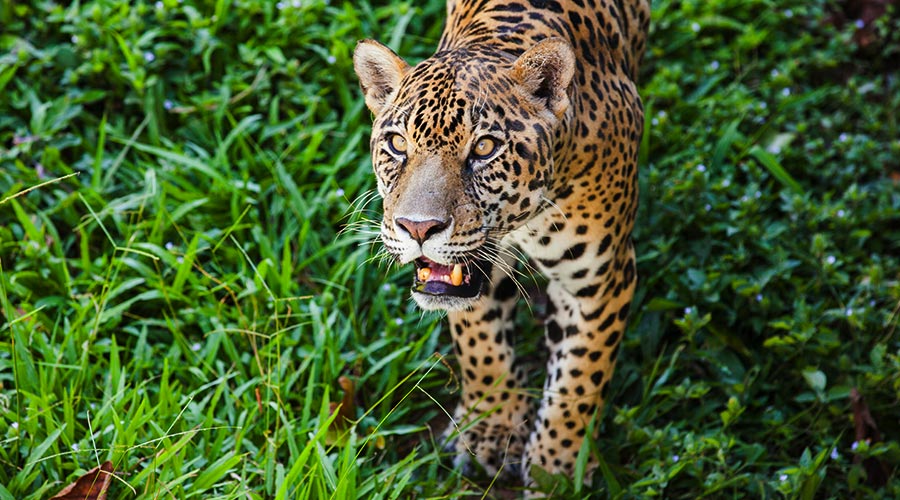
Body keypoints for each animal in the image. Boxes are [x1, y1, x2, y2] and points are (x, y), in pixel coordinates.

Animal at [353, 0, 650, 488]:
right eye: (397, 144)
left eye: (484, 149)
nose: (418, 228)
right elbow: (481, 347)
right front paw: (490, 431)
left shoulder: (600, 278)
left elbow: (581, 376)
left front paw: (557, 468)